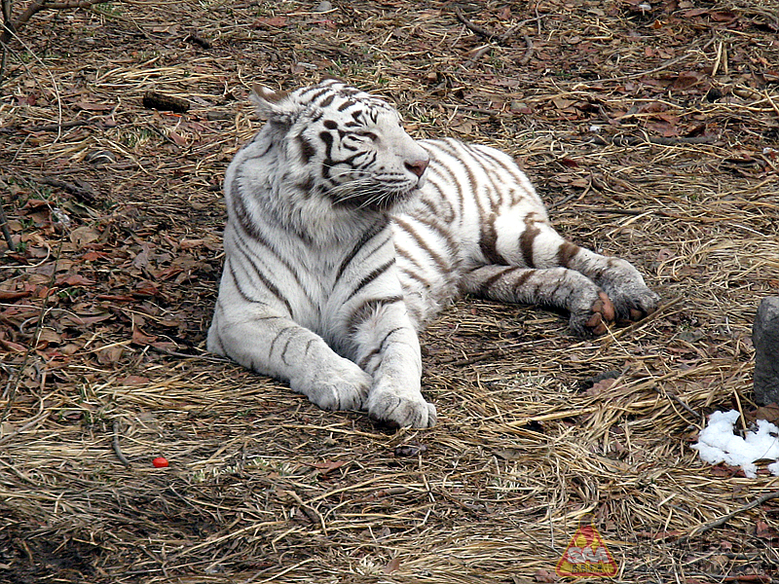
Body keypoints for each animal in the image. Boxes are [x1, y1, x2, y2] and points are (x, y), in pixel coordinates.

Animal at [207, 79, 660, 429]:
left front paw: (403, 403)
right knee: (552, 278)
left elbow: (400, 353)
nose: (420, 164)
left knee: (598, 260)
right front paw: (344, 382)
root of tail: (483, 145)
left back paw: (632, 297)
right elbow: (299, 341)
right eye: (365, 135)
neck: (326, 221)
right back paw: (590, 307)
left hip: (504, 234)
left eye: (399, 125)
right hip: (484, 272)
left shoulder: (379, 306)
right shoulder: (242, 316)